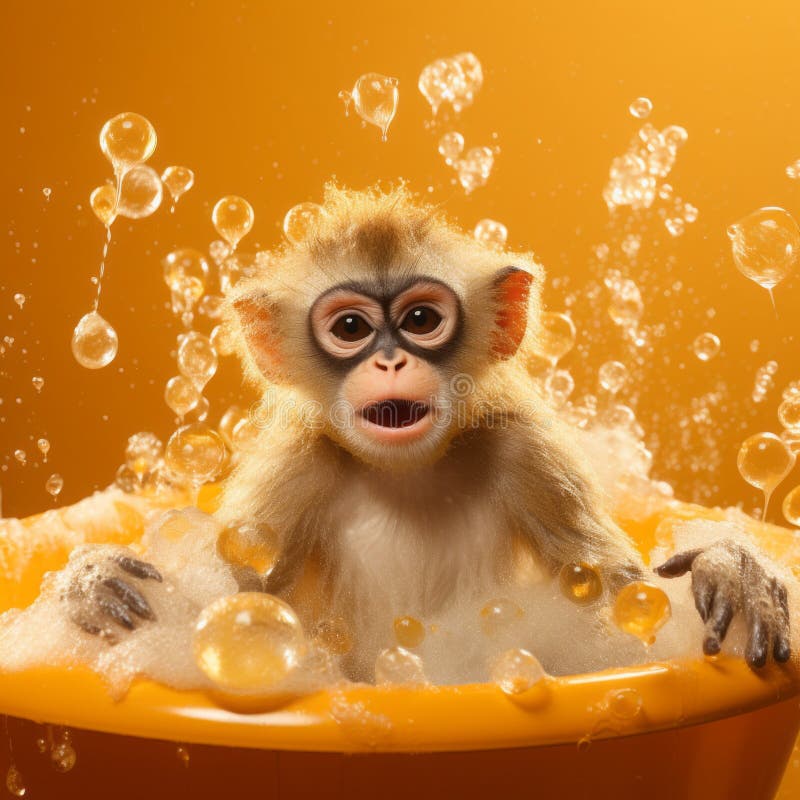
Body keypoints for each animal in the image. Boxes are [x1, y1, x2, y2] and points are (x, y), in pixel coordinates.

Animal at [66, 184, 791, 676]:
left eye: (420, 319)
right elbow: (237, 606)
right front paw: (91, 579)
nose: (391, 360)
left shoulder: (526, 450)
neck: (408, 473)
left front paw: (728, 567)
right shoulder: (297, 467)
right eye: (351, 328)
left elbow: (627, 600)